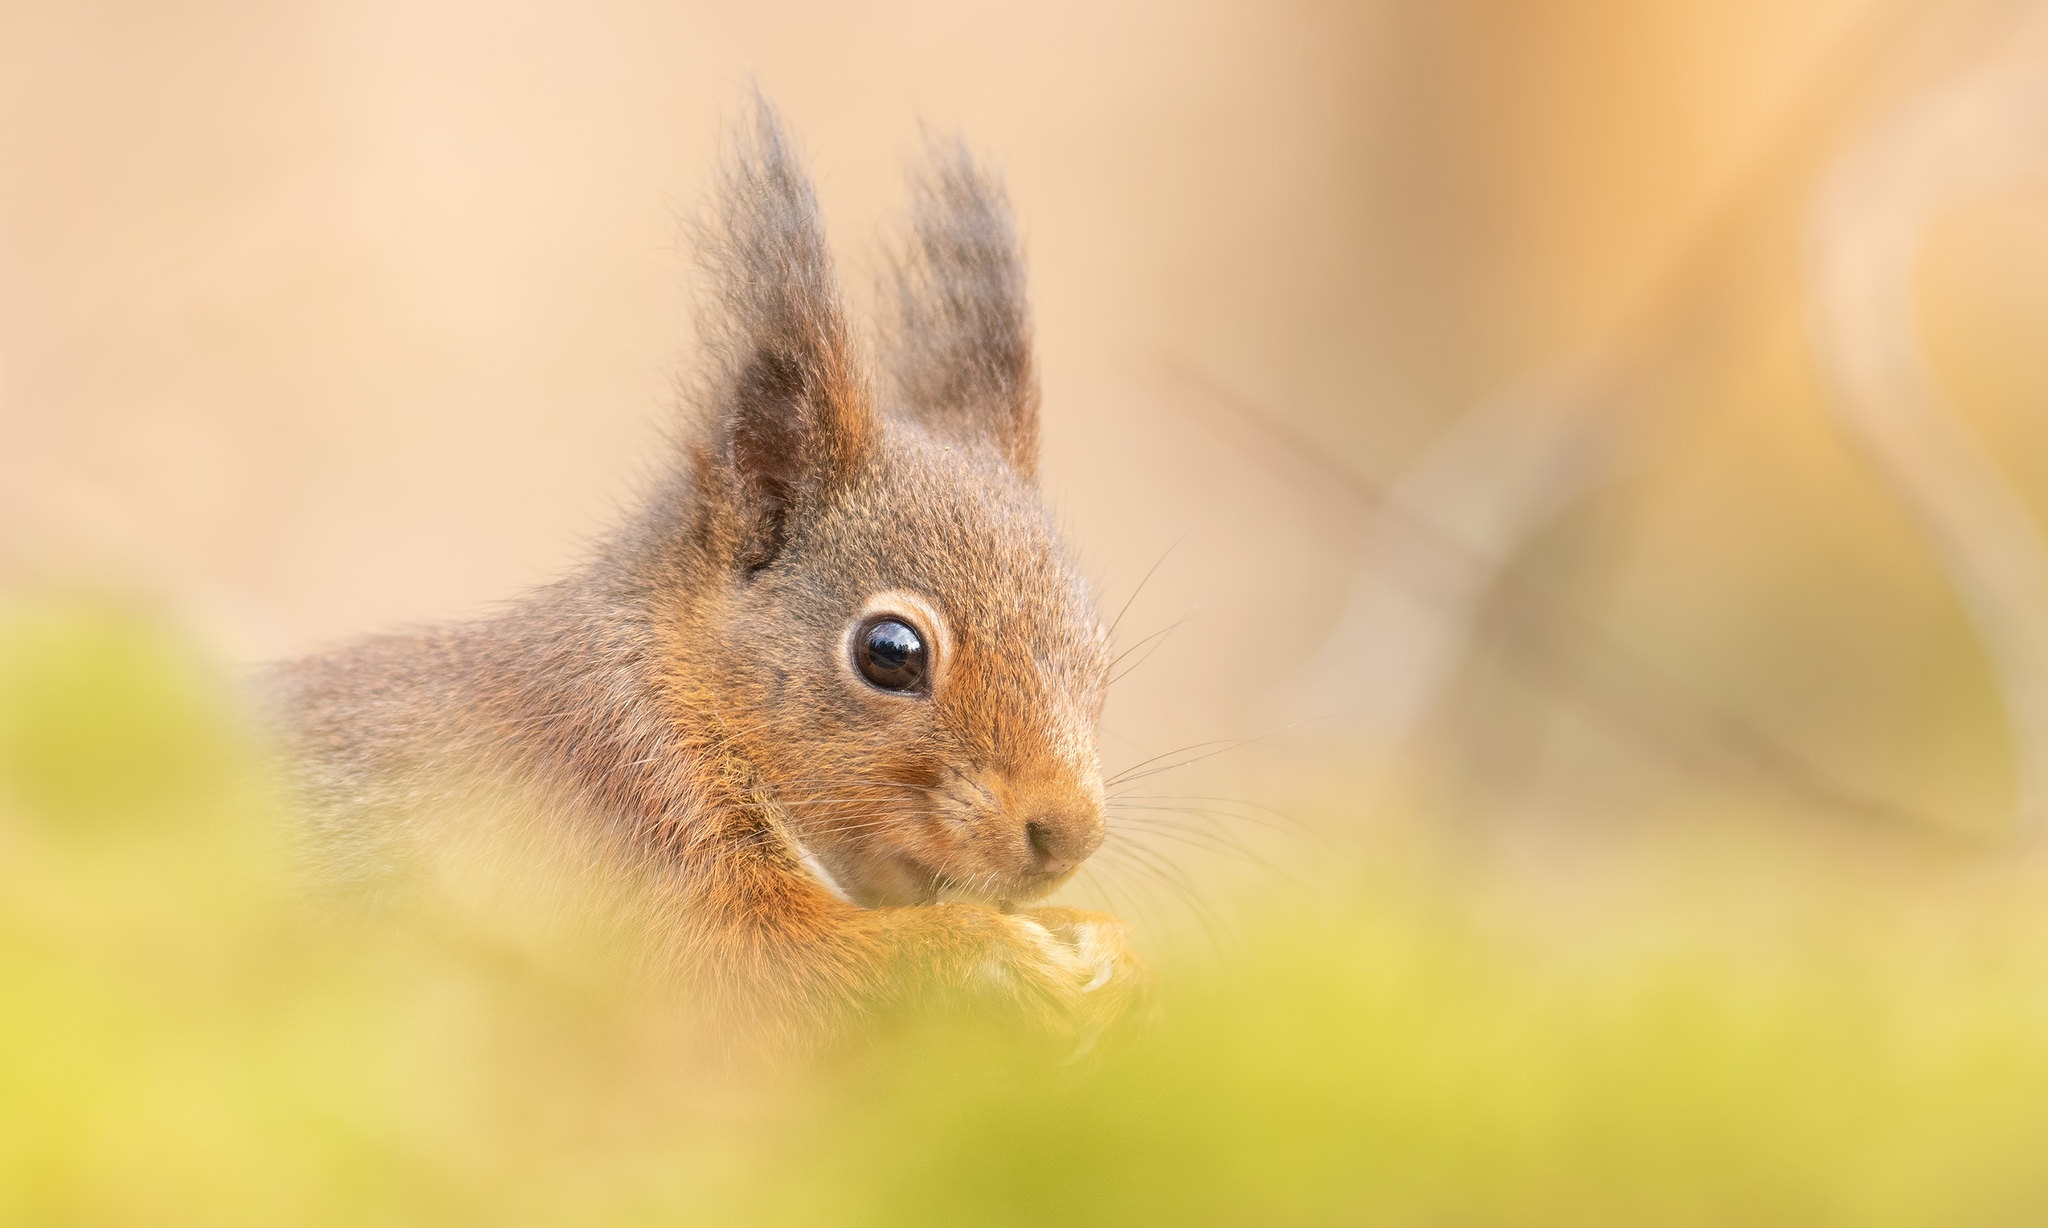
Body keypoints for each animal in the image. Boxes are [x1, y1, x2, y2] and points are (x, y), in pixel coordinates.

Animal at [267, 97, 1141, 1048]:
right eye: (890, 652)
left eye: (1098, 649)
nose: (1069, 835)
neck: (685, 689)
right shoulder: (625, 809)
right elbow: (766, 973)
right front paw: (996, 949)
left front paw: (1107, 945)